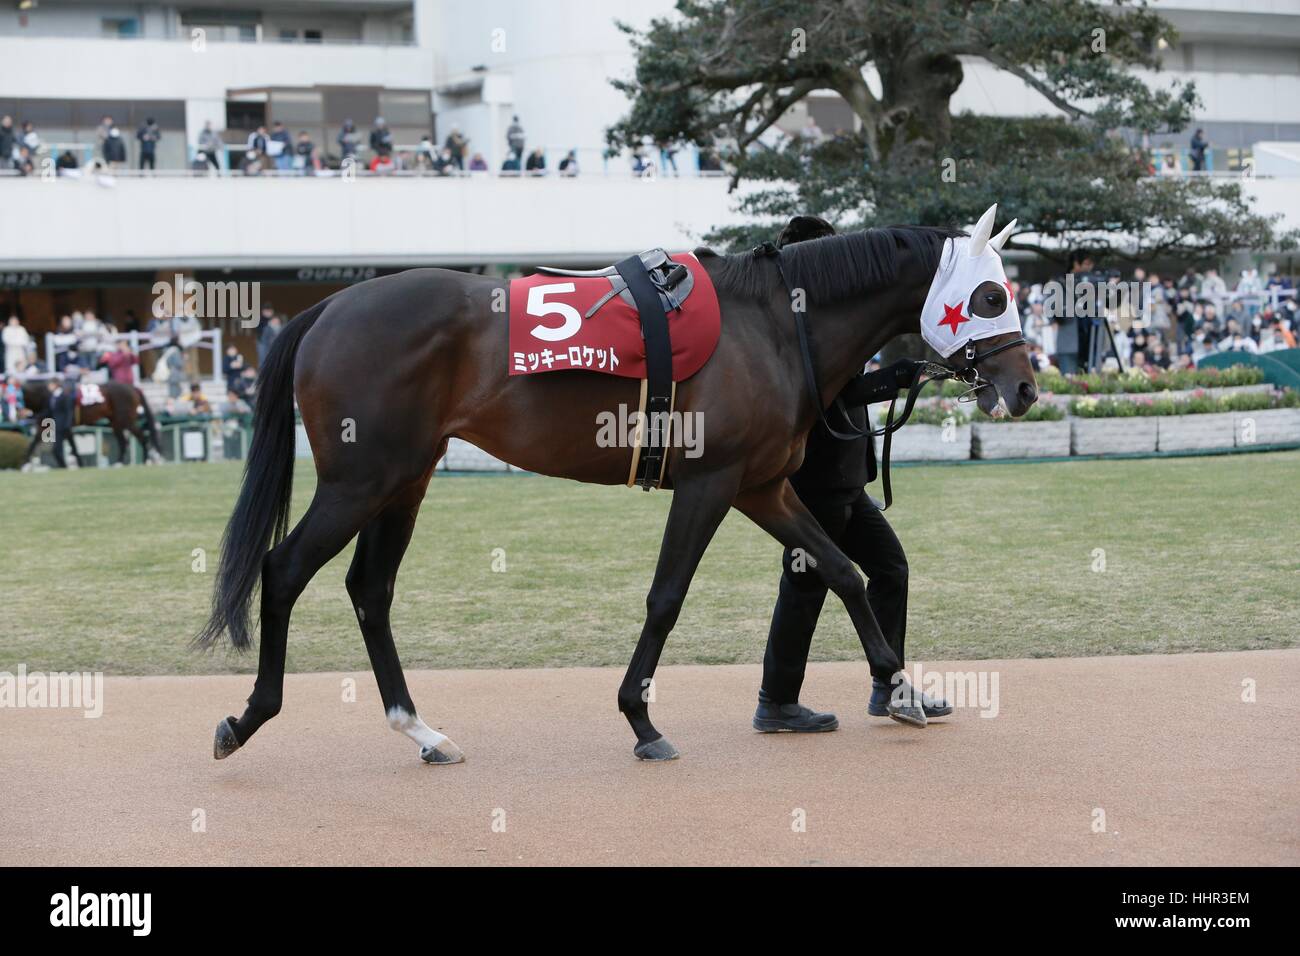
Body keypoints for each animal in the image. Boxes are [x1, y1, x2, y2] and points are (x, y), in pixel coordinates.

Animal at [23, 379, 163, 467]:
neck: (48, 397)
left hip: (126, 420)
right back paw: (119, 462)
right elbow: (33, 444)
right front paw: (25, 464)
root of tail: (133, 388)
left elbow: (71, 447)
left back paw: (144, 461)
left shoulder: (64, 426)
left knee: (141, 438)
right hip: (116, 423)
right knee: (123, 442)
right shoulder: (47, 426)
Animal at [197, 204, 1038, 765]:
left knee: (370, 591)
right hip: (358, 480)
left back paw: (421, 730)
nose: (1026, 387)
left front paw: (900, 689)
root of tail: (325, 308)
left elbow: (842, 570)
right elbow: (667, 597)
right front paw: (640, 719)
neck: (770, 325)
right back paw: (247, 718)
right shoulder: (711, 483)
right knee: (283, 569)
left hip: (404, 479)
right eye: (993, 295)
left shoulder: (762, 487)